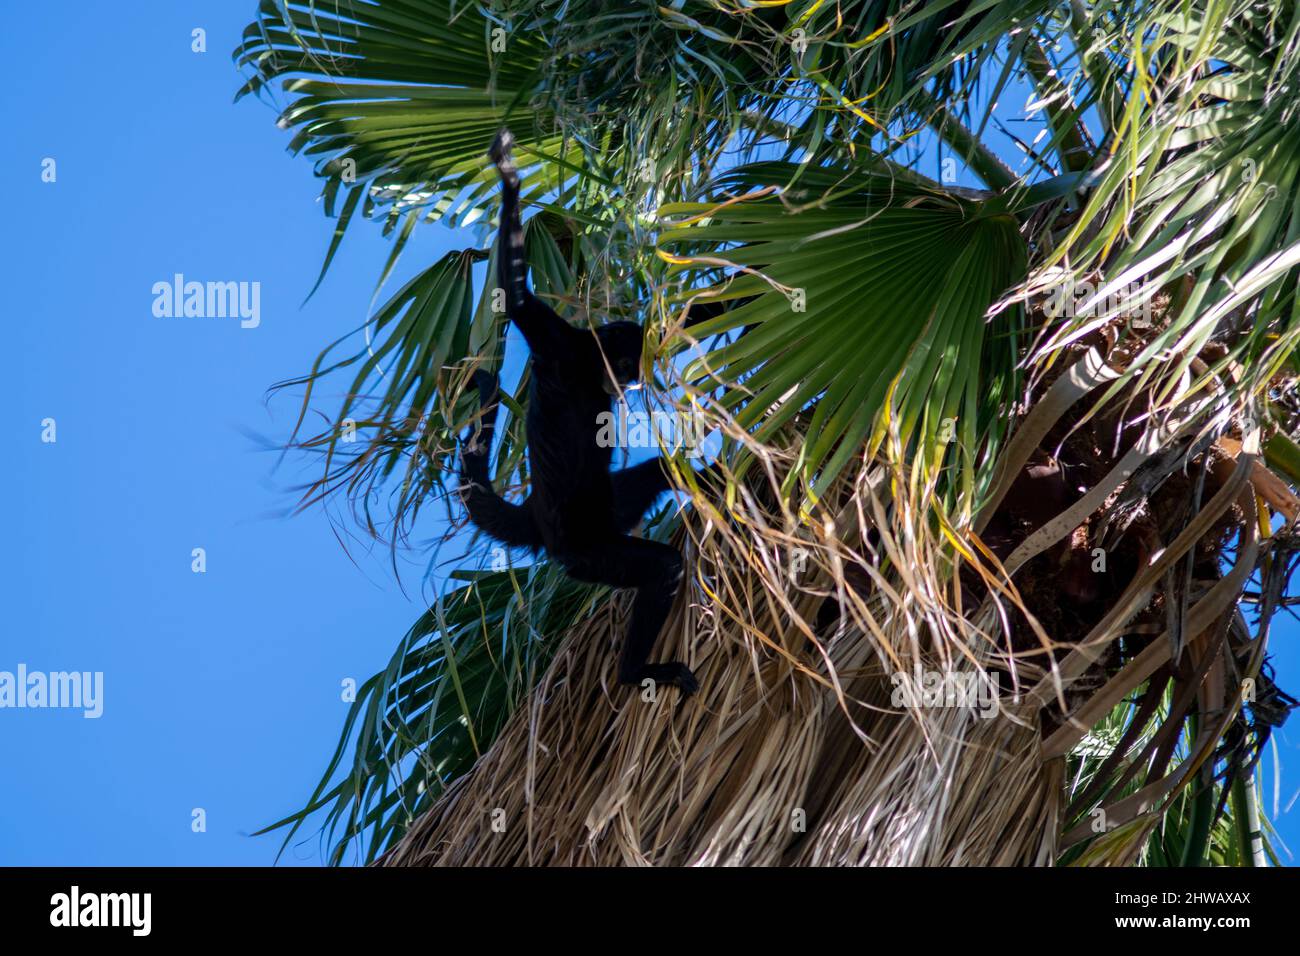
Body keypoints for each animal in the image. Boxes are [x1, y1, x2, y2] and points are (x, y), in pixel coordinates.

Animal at [459, 128, 700, 695]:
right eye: (626, 362)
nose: (632, 378)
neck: (589, 365)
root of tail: (537, 518)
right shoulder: (558, 343)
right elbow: (518, 301)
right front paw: (509, 178)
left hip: (608, 510)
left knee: (658, 473)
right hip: (590, 553)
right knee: (661, 566)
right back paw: (637, 672)